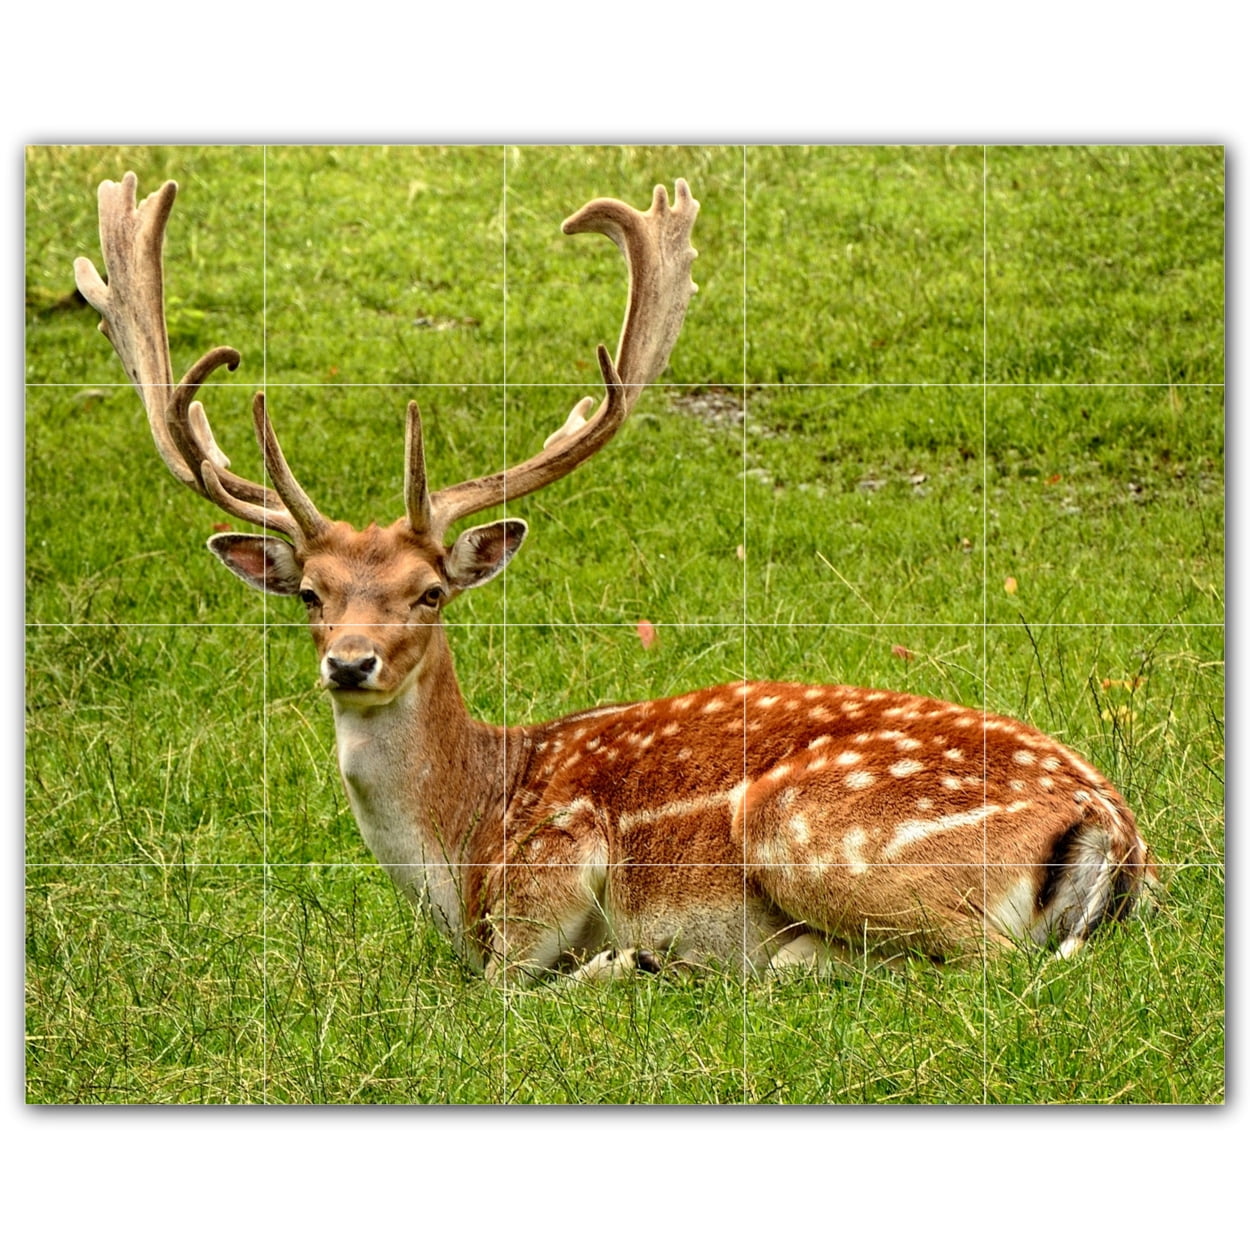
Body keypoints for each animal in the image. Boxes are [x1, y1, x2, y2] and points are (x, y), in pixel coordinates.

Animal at [74, 171, 1157, 985]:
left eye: (430, 591)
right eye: (311, 592)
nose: (350, 662)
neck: (462, 844)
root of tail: (1111, 824)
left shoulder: (551, 864)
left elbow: (506, 985)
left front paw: (621, 961)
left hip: (807, 827)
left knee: (984, 960)